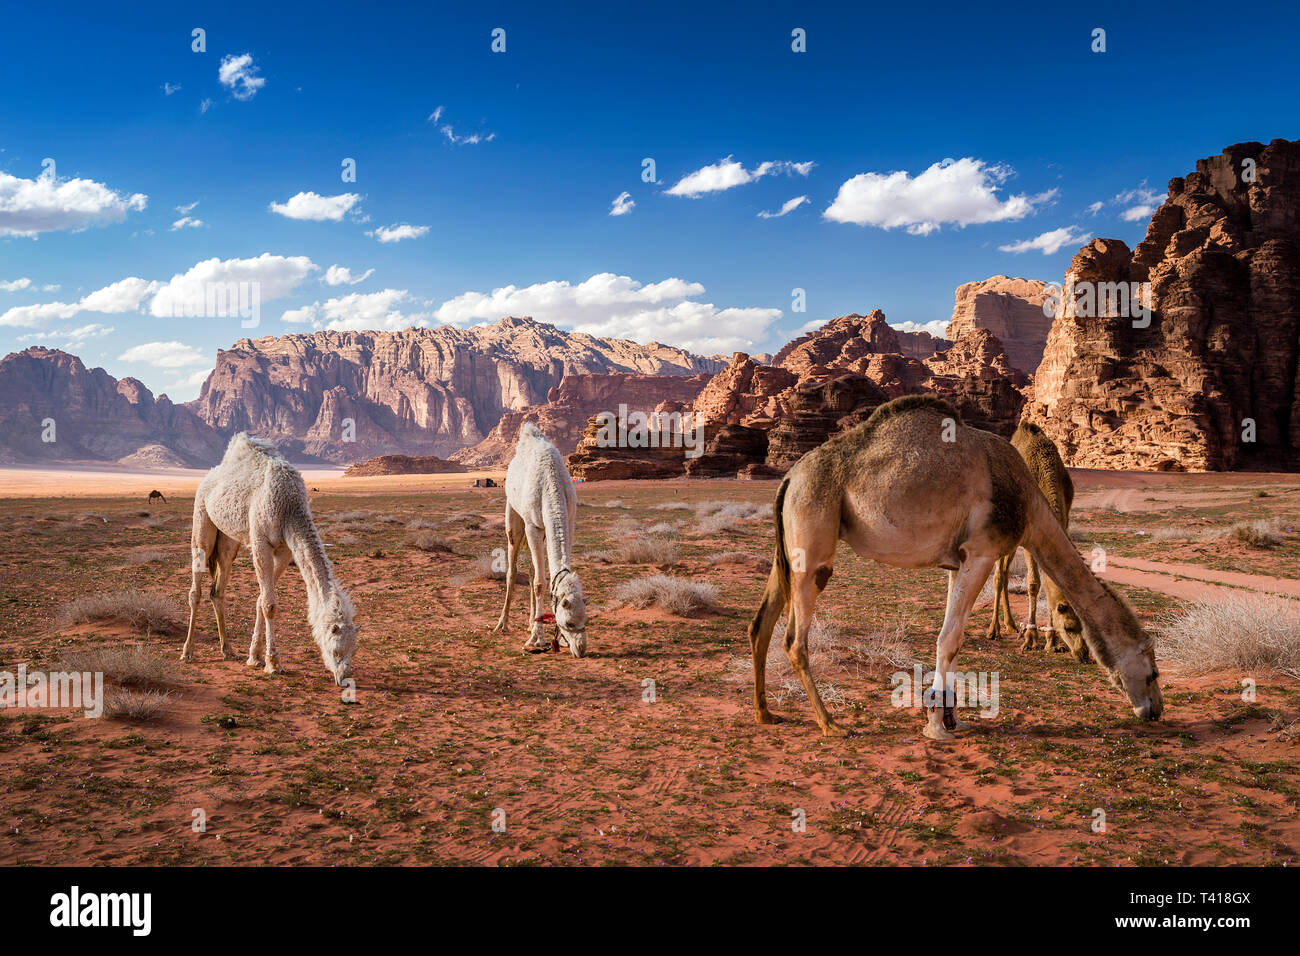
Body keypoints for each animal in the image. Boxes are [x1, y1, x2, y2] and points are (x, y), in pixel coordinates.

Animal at [181, 432, 358, 685]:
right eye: (336, 650)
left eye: (355, 649)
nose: (344, 678)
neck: (289, 506)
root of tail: (208, 477)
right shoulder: (260, 541)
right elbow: (269, 604)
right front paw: (273, 663)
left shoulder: (285, 548)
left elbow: (261, 599)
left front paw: (254, 656)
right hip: (201, 516)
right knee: (196, 585)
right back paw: (187, 652)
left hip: (228, 540)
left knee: (218, 588)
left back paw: (228, 650)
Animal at [493, 423, 588, 656]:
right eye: (569, 623)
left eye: (587, 619)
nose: (581, 649)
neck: (551, 484)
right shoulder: (533, 527)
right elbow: (539, 583)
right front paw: (536, 639)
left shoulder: (570, 522)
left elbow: (540, 577)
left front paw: (545, 634)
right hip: (514, 516)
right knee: (513, 570)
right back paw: (502, 624)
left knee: (531, 571)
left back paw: (529, 621)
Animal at [985, 421, 1087, 662]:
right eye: (1069, 627)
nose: (1084, 654)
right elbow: (1033, 584)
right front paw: (1031, 639)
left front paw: (1053, 642)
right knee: (999, 575)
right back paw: (995, 630)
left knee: (1005, 572)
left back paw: (1011, 625)